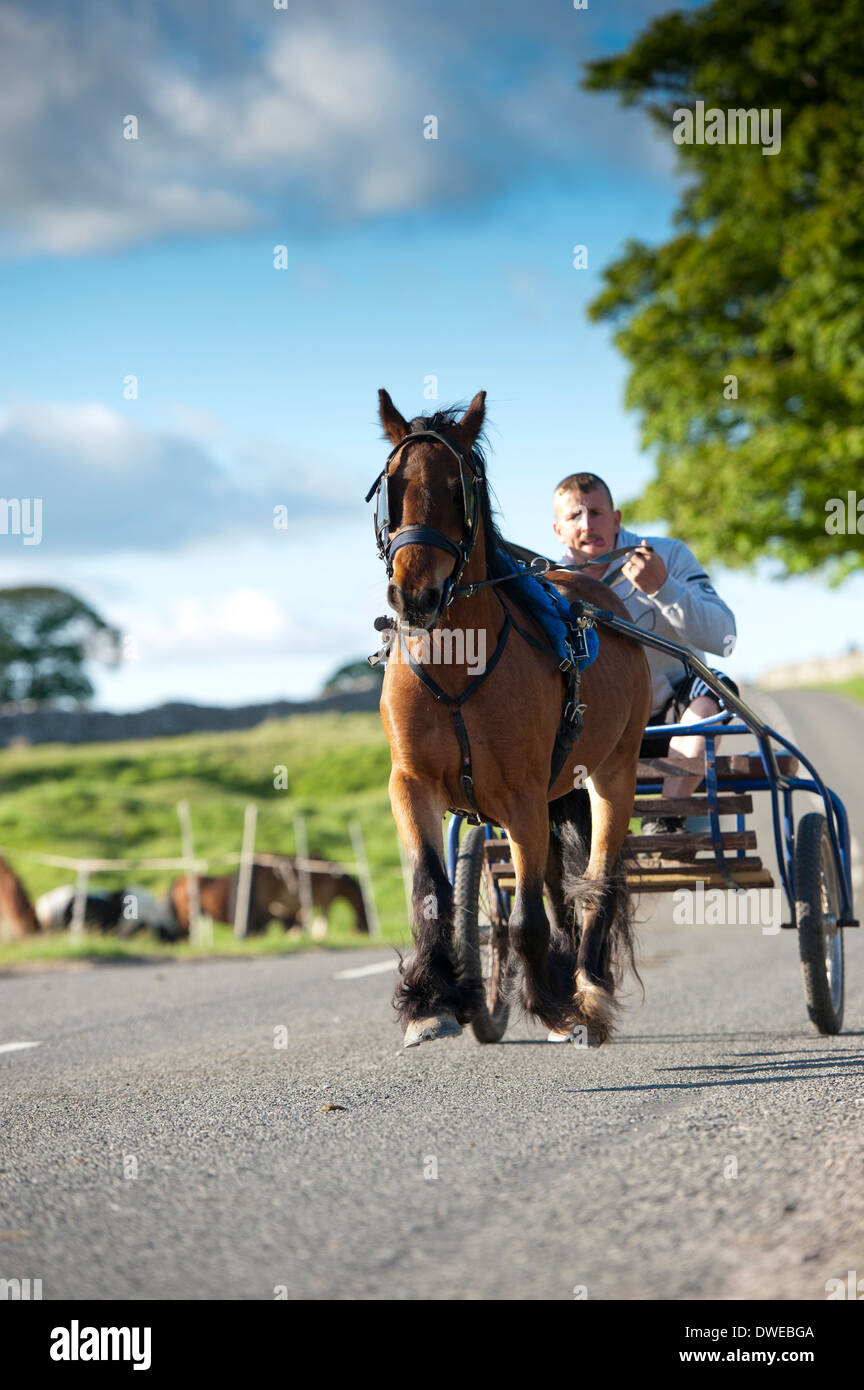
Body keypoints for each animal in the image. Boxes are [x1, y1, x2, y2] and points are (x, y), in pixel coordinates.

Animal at [370, 389, 652, 1047]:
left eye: (459, 488)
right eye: (392, 486)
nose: (413, 595)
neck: (455, 664)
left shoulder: (522, 795)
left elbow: (525, 916)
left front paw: (558, 1004)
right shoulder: (411, 784)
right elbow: (432, 890)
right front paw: (431, 1000)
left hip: (613, 774)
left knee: (597, 882)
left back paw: (588, 987)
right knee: (558, 886)